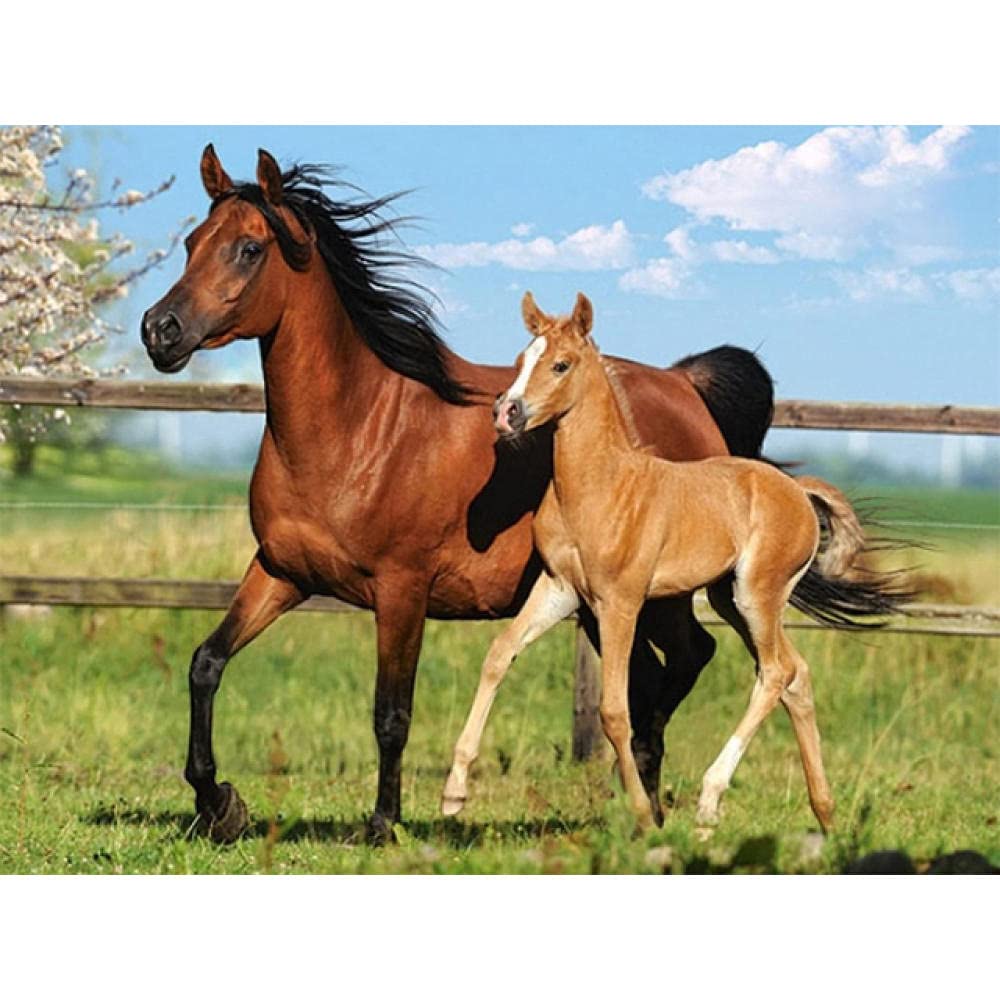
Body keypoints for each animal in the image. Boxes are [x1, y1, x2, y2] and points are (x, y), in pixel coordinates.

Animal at [140, 145, 777, 843]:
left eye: (250, 249)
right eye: (192, 243)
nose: (159, 331)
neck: (357, 430)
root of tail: (684, 386)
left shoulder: (401, 590)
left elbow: (391, 712)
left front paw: (383, 825)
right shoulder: (282, 572)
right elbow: (206, 663)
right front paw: (218, 804)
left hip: (654, 594)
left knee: (689, 659)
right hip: (599, 603)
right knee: (650, 678)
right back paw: (639, 810)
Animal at [442, 292, 909, 832]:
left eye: (561, 364)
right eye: (520, 361)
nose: (506, 413)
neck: (599, 485)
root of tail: (797, 490)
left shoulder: (619, 603)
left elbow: (614, 710)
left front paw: (643, 816)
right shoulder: (559, 589)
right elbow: (499, 655)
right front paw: (454, 793)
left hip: (757, 594)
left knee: (774, 673)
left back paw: (710, 802)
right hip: (730, 598)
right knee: (796, 674)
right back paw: (826, 814)